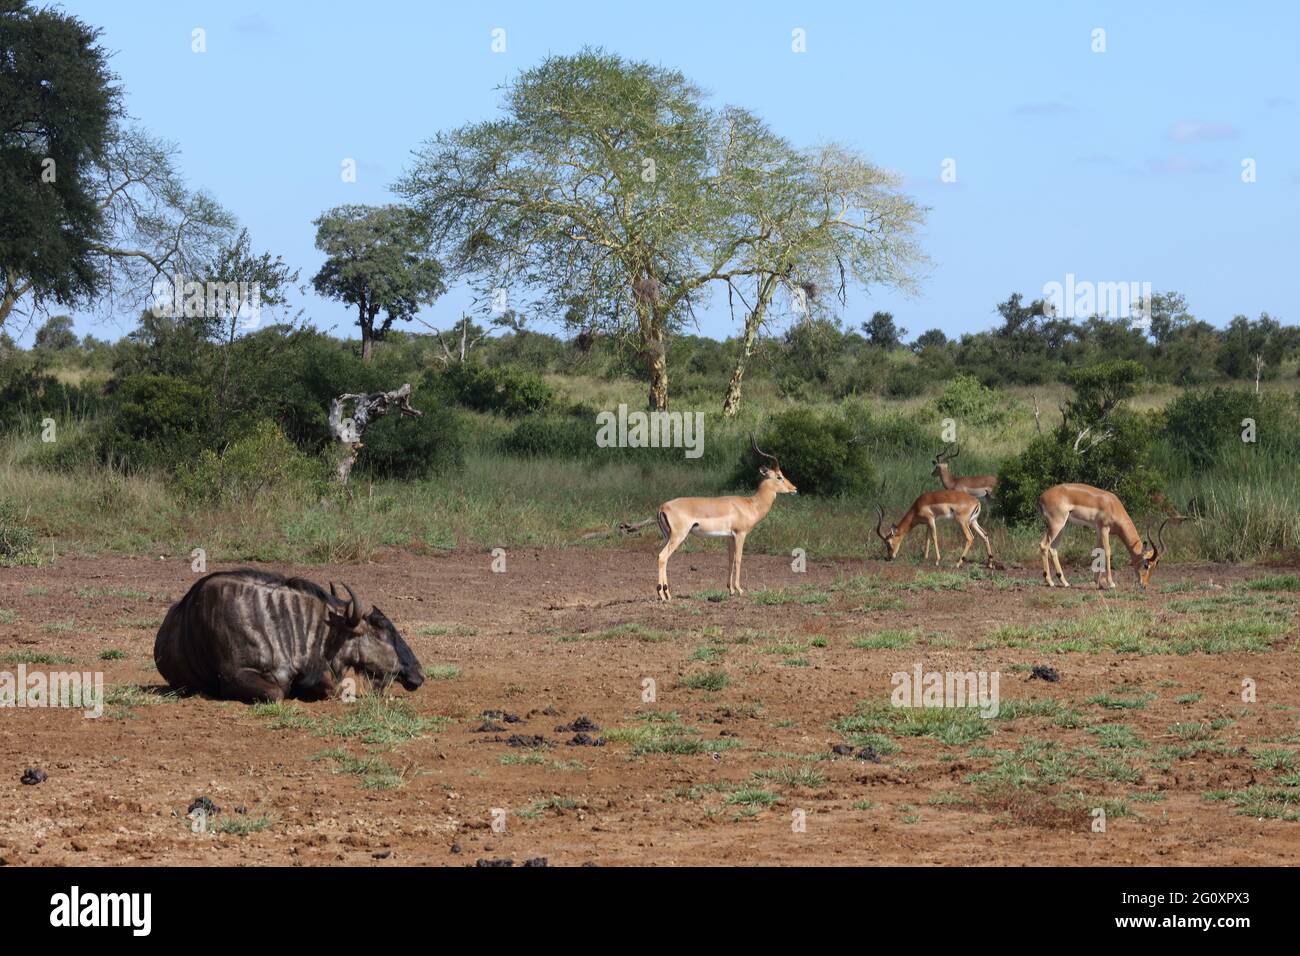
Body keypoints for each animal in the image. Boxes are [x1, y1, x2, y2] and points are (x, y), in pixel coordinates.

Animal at [655, 437, 797, 601]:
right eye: (779, 476)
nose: (794, 488)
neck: (750, 505)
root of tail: (663, 506)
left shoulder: (730, 537)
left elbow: (730, 559)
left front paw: (731, 590)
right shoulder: (740, 534)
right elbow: (739, 559)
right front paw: (740, 589)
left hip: (669, 536)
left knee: (664, 558)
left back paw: (667, 594)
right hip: (678, 536)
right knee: (662, 557)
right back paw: (663, 595)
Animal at [1038, 483, 1171, 589]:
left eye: (1155, 566)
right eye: (1146, 565)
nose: (1144, 585)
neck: (1112, 505)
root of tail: (1042, 496)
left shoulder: (1098, 532)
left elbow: (1098, 552)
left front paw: (1098, 582)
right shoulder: (1104, 529)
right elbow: (1107, 552)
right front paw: (1111, 583)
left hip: (1063, 527)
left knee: (1053, 548)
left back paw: (1065, 583)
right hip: (1056, 525)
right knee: (1044, 545)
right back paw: (1050, 582)